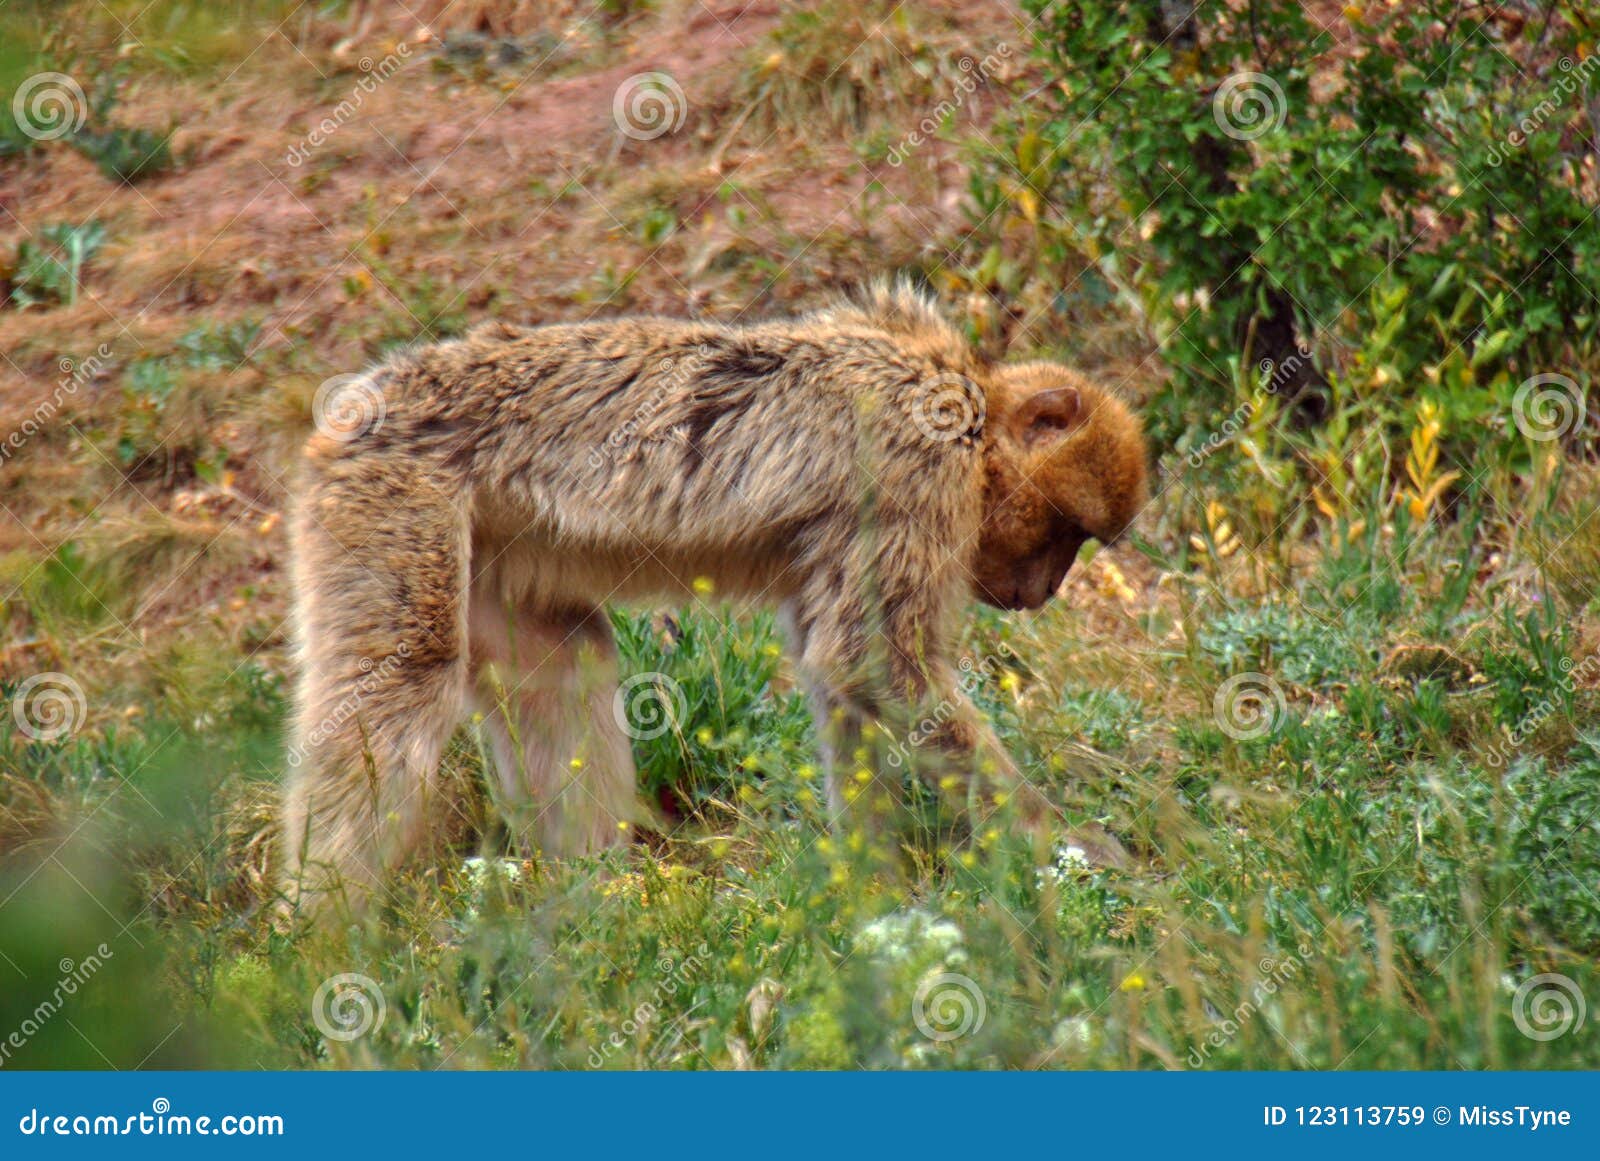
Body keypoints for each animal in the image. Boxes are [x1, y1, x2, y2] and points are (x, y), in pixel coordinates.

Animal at [279, 283, 1147, 912]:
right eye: (1066, 532)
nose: (1042, 590)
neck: (966, 399)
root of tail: (354, 409)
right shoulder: (915, 468)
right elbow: (871, 662)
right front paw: (1069, 844)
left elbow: (843, 677)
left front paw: (876, 894)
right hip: (390, 498)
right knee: (403, 681)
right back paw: (324, 935)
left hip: (488, 549)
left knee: (561, 665)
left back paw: (598, 907)